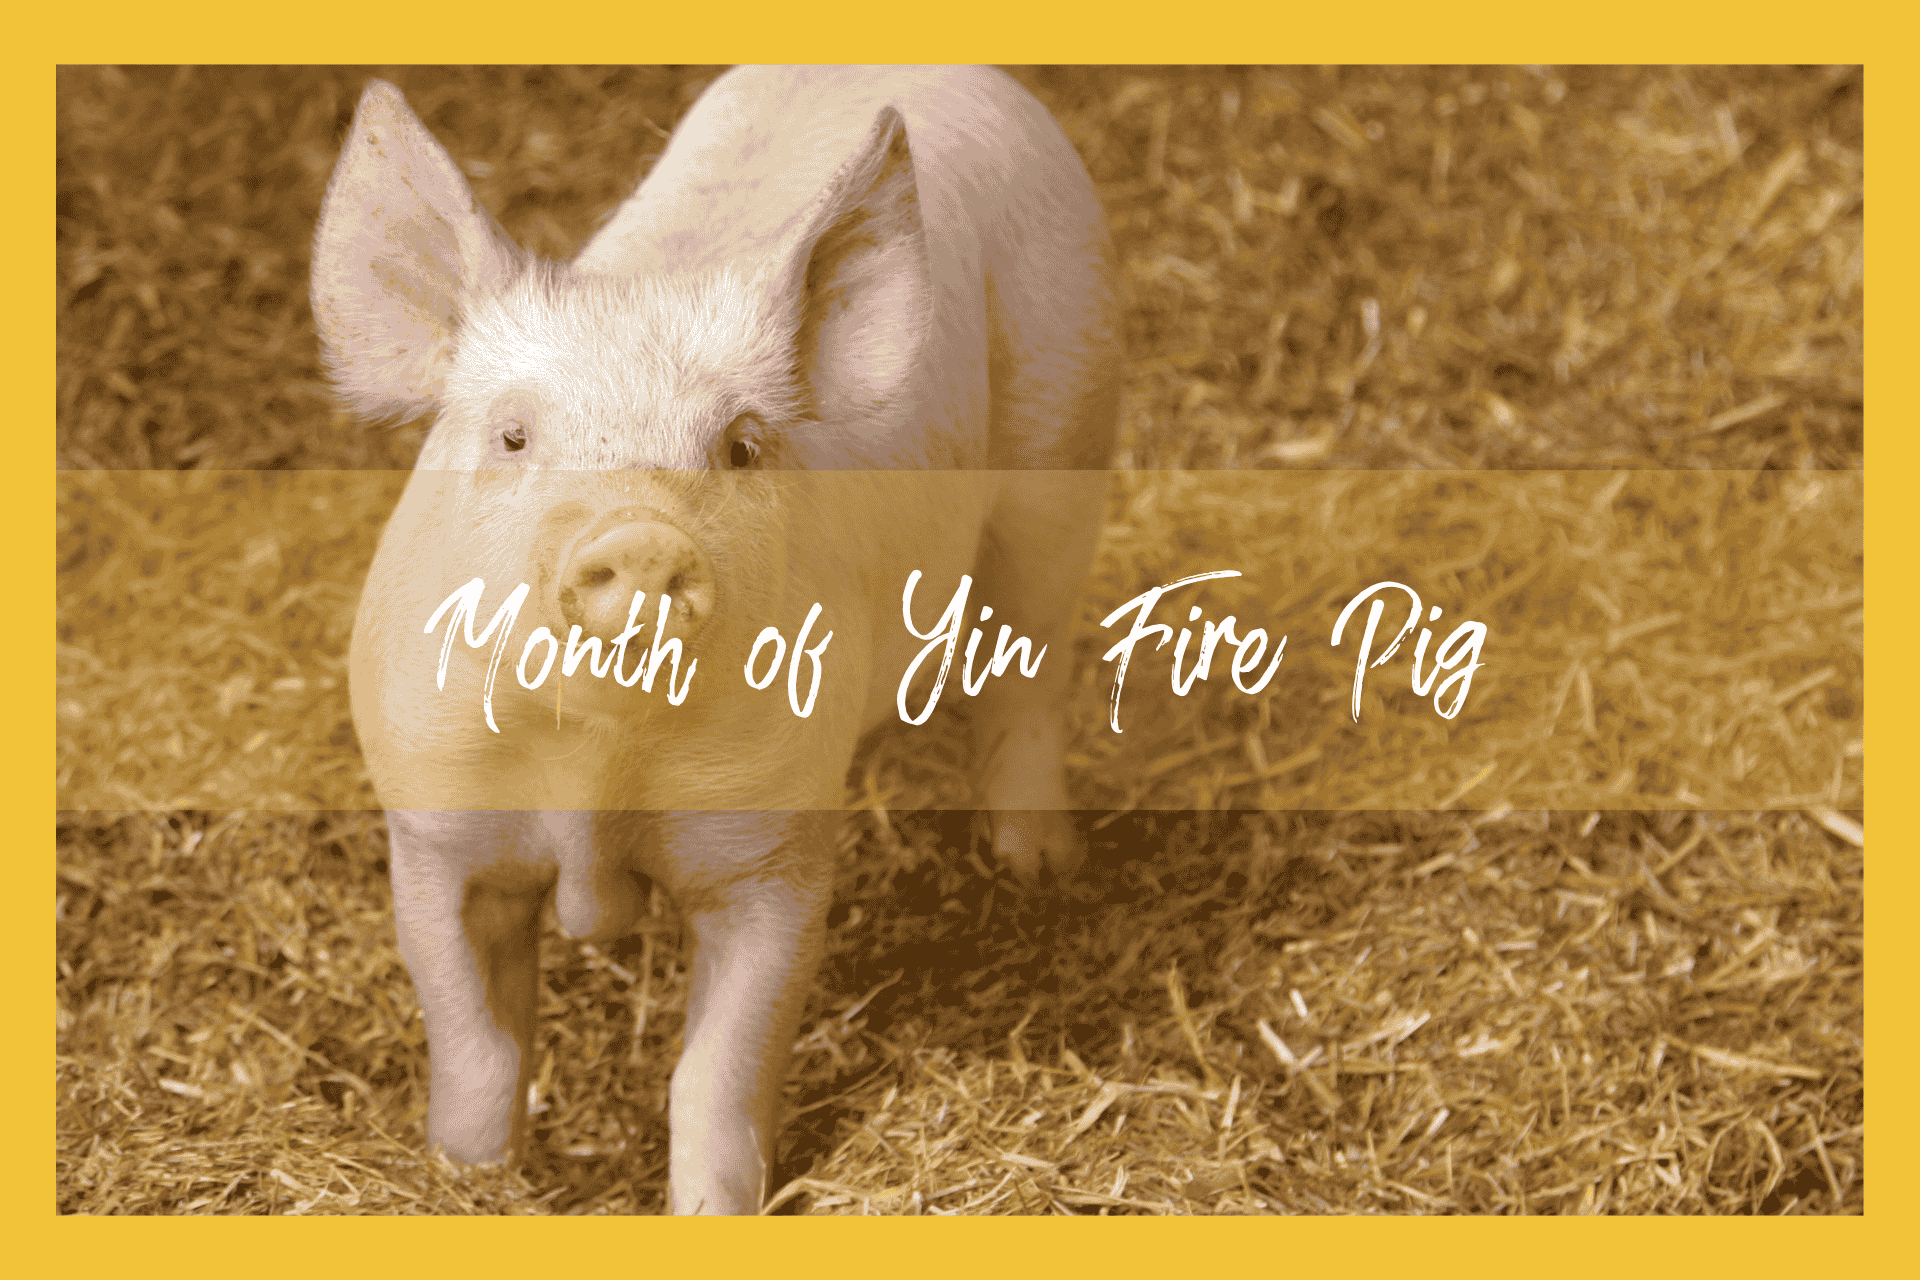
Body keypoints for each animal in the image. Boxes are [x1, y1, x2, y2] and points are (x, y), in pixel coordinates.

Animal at [311, 66, 1117, 1214]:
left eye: (739, 447)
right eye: (513, 435)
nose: (640, 539)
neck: (598, 770)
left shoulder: (770, 852)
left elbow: (718, 1070)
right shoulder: (435, 830)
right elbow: (477, 1050)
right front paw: (468, 1180)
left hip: (1070, 424)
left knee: (1029, 668)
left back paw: (1037, 868)